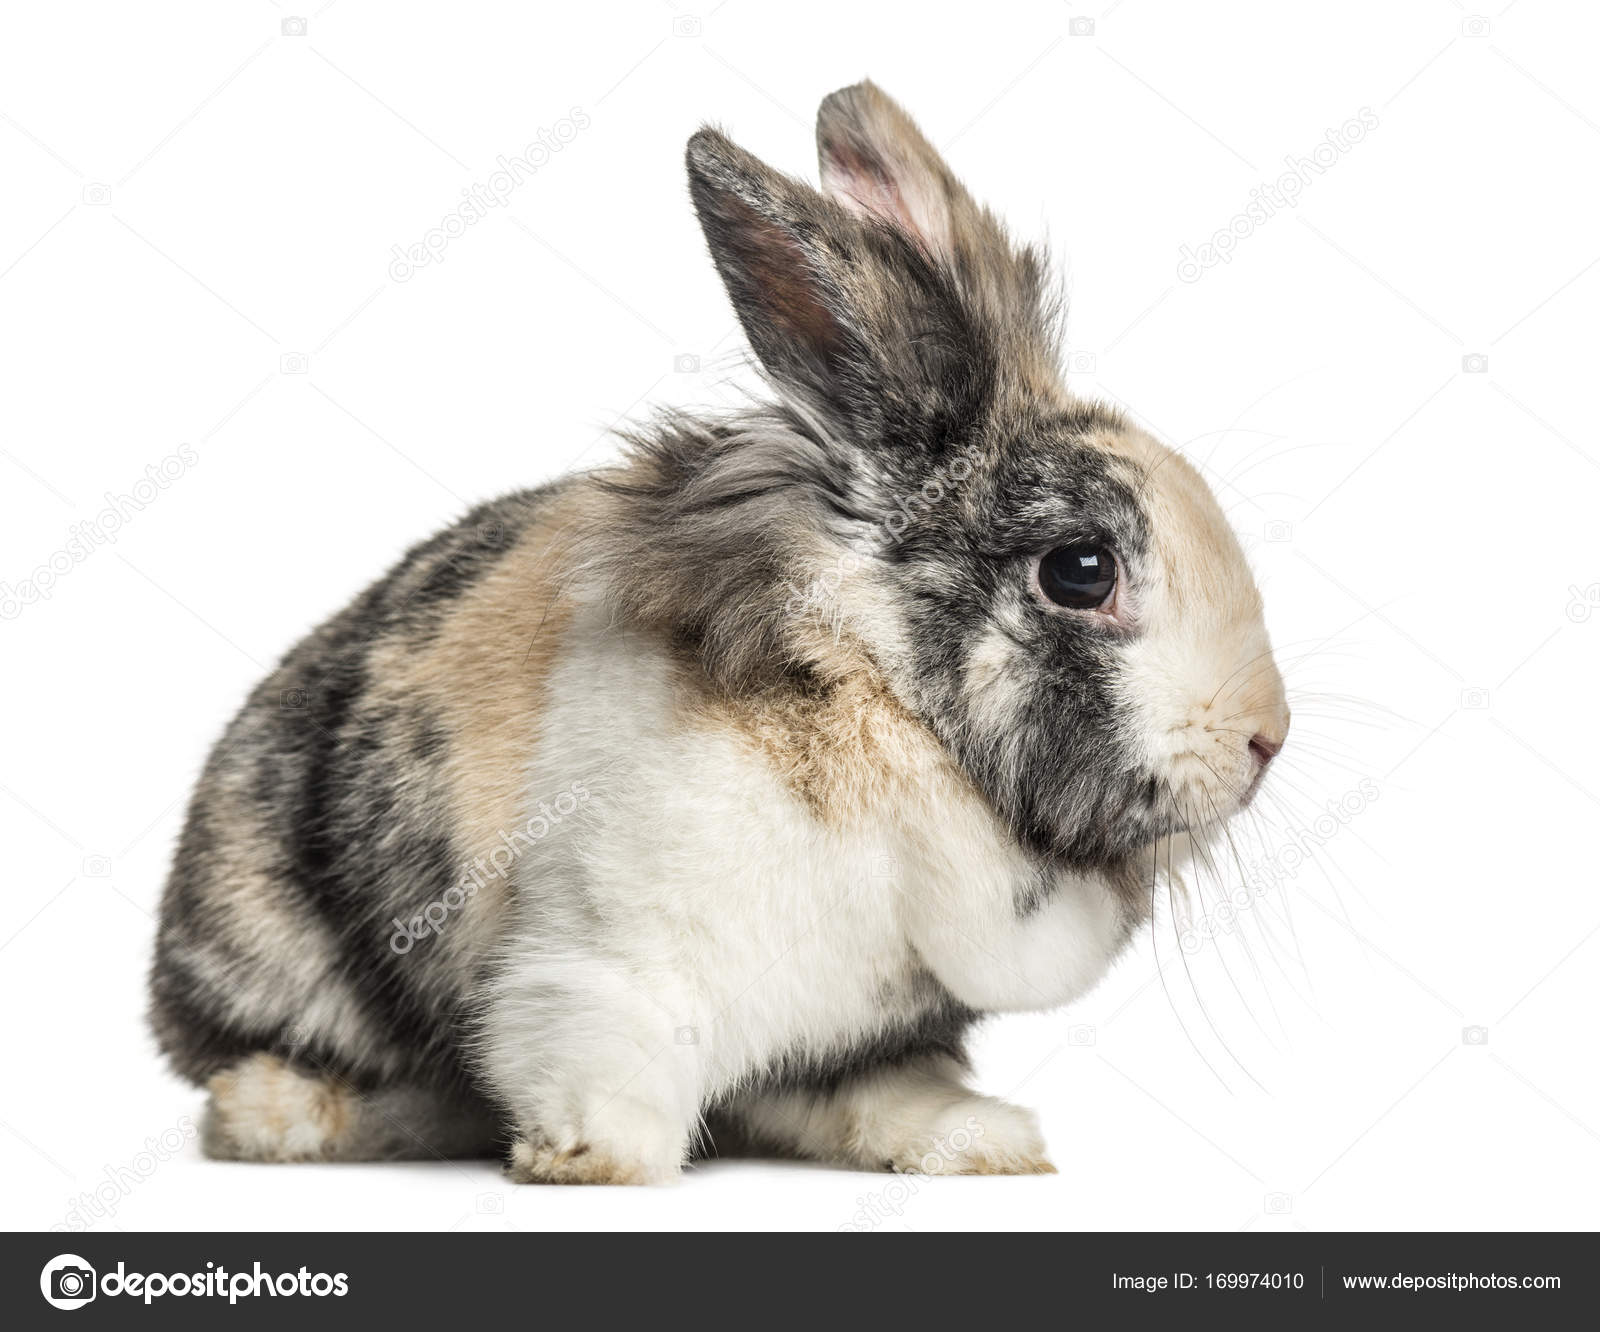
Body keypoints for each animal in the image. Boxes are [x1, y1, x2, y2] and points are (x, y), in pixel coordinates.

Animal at [148, 80, 1289, 1183]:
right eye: (1080, 570)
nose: (1265, 739)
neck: (887, 701)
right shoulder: (610, 958)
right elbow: (602, 1059)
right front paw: (597, 1164)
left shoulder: (865, 1028)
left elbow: (869, 1090)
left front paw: (980, 1145)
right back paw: (292, 1111)